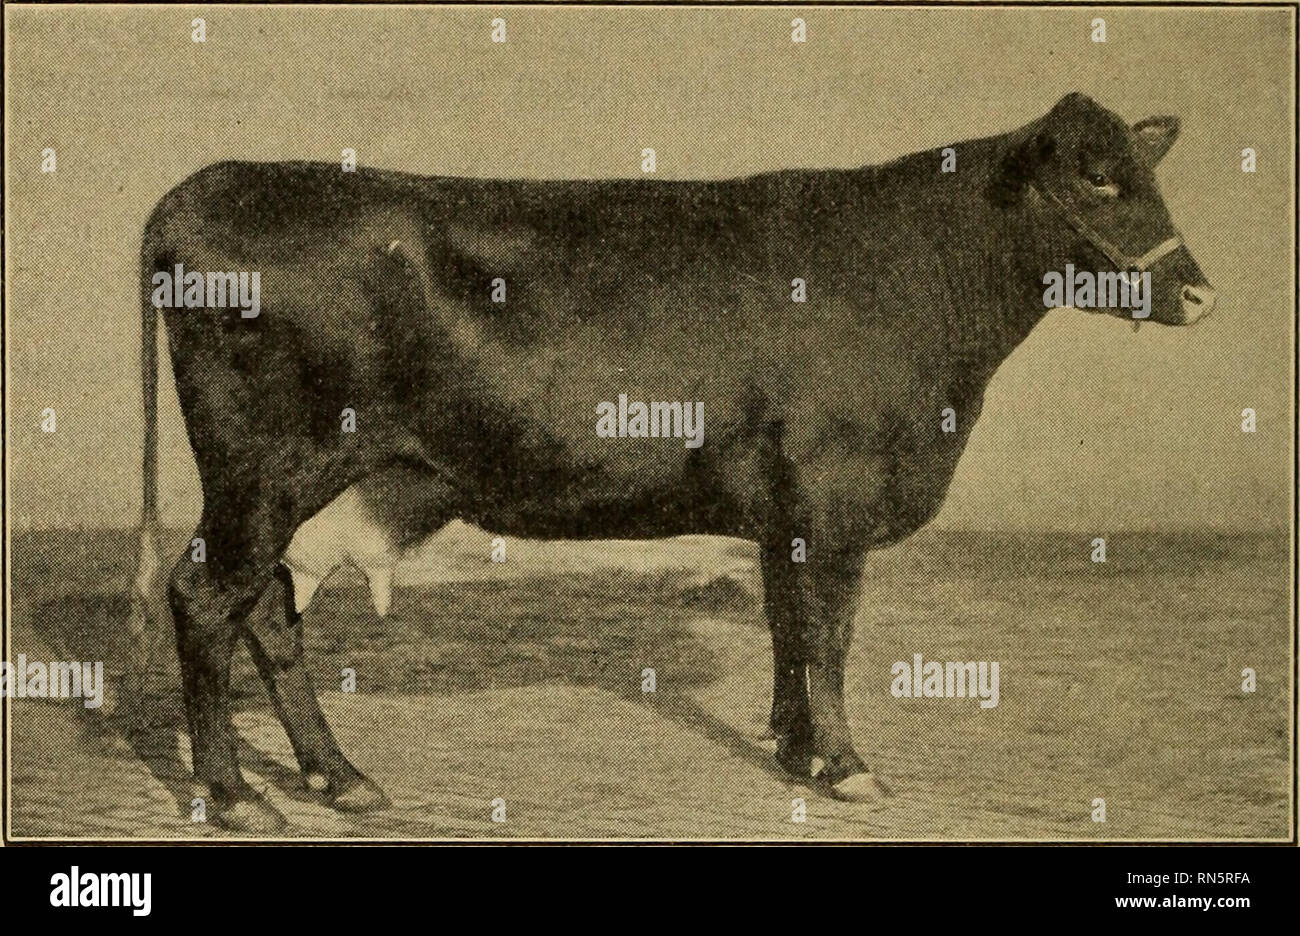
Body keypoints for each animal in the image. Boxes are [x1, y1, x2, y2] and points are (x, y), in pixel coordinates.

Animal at [128, 92, 1215, 831]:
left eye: (1149, 173)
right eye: (1098, 179)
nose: (1200, 294)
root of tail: (202, 191)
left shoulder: (785, 513)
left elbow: (789, 628)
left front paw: (795, 750)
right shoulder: (834, 497)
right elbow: (830, 636)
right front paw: (848, 766)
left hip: (304, 486)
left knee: (269, 607)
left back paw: (341, 779)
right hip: (262, 472)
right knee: (206, 598)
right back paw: (234, 795)